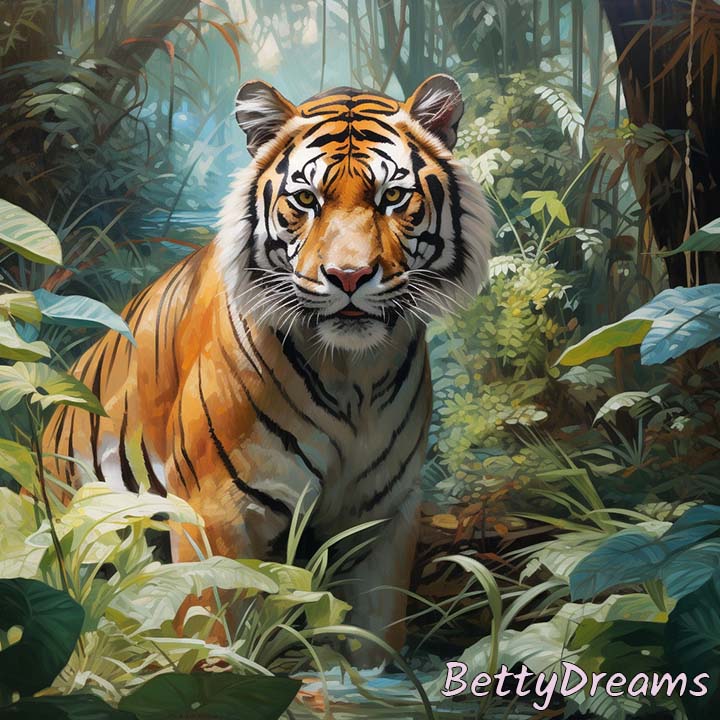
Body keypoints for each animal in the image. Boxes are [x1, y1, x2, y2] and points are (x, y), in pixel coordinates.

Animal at [44, 74, 492, 663]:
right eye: (306, 199)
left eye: (393, 197)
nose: (349, 276)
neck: (353, 376)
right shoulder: (216, 511)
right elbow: (213, 636)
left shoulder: (383, 518)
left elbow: (376, 640)